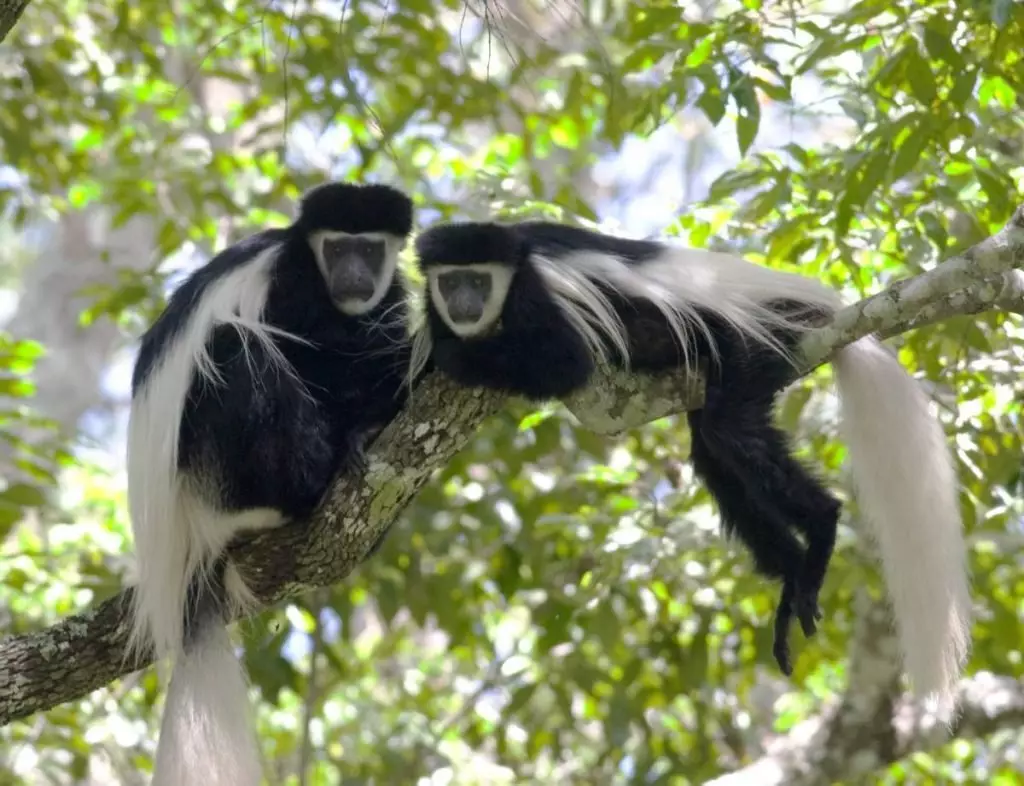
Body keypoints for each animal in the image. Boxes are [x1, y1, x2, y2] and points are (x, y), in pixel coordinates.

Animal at [130, 181, 413, 781]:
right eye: (338, 248)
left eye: (370, 249)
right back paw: (314, 478)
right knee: (237, 348)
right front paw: (362, 425)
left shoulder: (390, 295)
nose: (354, 275)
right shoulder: (291, 284)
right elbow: (313, 354)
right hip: (212, 472)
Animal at [411, 219, 970, 704]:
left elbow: (566, 364)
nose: (464, 303)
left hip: (756, 341)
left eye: (478, 281)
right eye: (451, 281)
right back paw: (792, 580)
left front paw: (460, 358)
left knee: (731, 432)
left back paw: (822, 526)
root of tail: (812, 299)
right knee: (713, 453)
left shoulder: (540, 299)